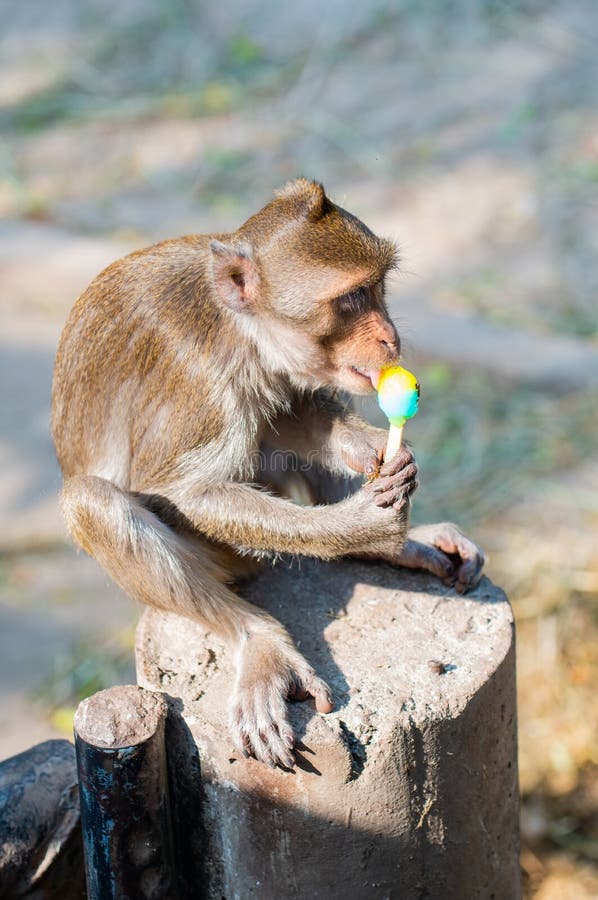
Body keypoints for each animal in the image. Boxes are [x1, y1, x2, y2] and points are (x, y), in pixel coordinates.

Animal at [52, 178, 485, 768]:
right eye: (351, 299)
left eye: (378, 288)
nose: (390, 338)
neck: (241, 328)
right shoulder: (200, 375)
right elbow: (186, 492)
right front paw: (361, 526)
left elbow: (290, 411)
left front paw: (375, 448)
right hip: (225, 556)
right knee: (91, 500)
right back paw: (258, 637)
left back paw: (401, 547)